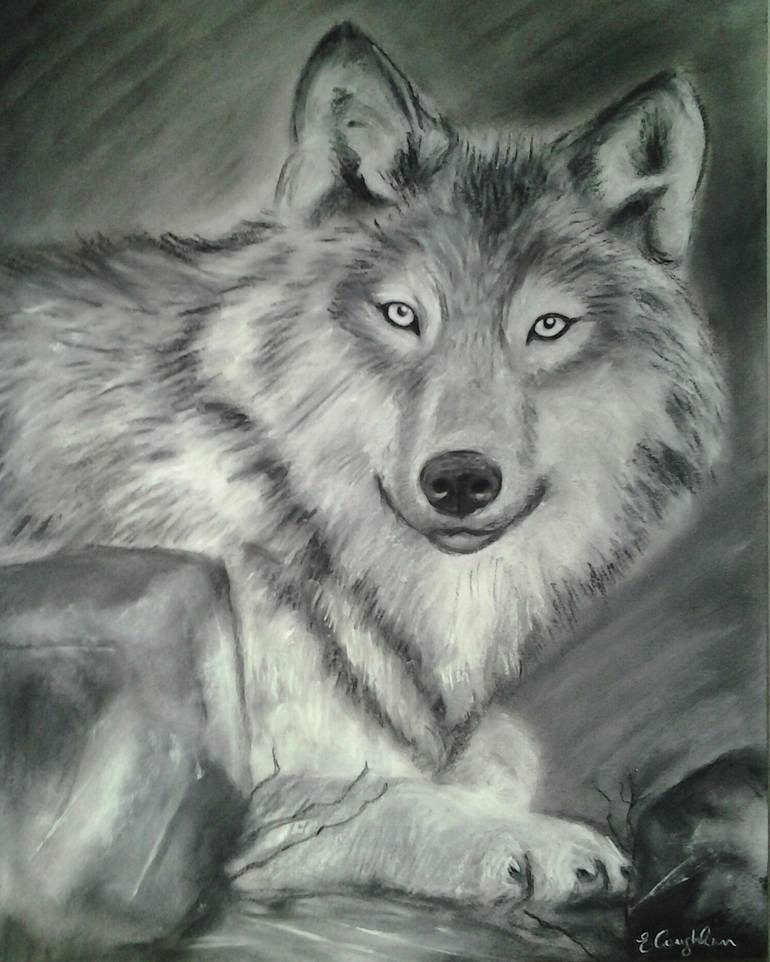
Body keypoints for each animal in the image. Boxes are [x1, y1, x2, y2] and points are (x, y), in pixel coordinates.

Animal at [0, 22, 724, 918]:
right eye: (402, 315)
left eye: (549, 327)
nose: (460, 480)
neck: (283, 501)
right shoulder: (224, 792)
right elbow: (371, 792)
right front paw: (531, 843)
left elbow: (498, 749)